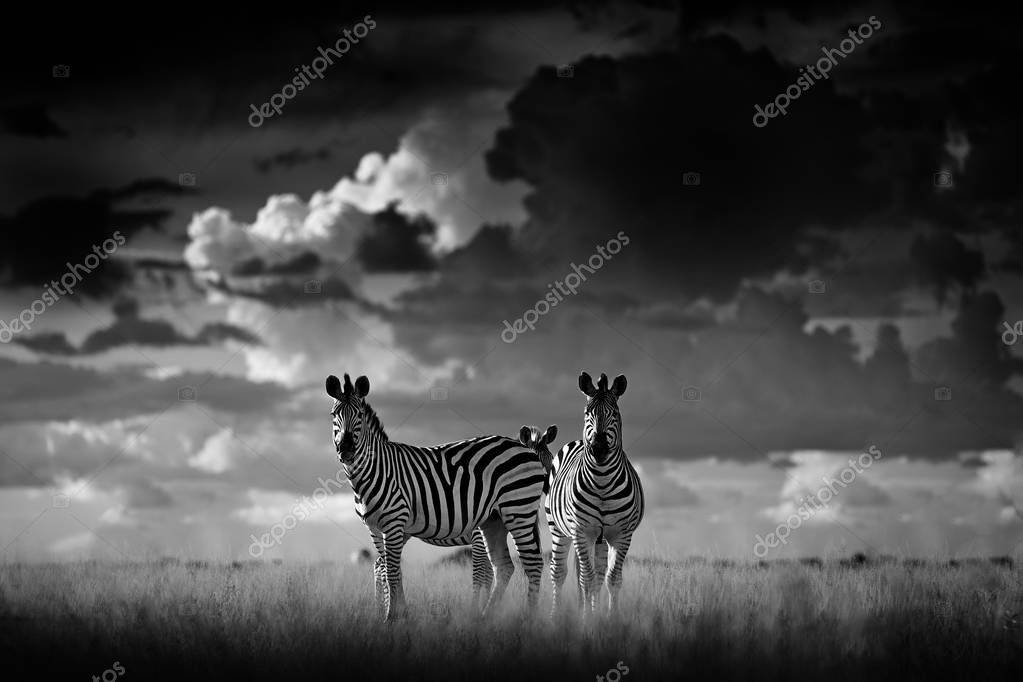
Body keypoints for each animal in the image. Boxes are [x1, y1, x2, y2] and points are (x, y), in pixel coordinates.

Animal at [326, 373, 547, 619]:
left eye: (360, 415)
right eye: (334, 415)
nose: (346, 449)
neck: (377, 470)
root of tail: (524, 449)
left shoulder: (394, 524)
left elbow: (393, 571)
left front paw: (391, 617)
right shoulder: (375, 528)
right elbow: (387, 569)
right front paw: (394, 614)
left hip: (518, 511)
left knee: (533, 564)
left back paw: (527, 618)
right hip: (494, 521)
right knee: (504, 566)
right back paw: (485, 616)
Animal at [546, 371, 644, 614]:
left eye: (615, 414)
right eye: (587, 413)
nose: (598, 448)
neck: (602, 483)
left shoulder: (621, 534)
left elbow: (612, 579)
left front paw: (609, 618)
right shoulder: (582, 532)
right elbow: (587, 580)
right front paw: (587, 620)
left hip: (600, 539)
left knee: (599, 576)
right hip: (559, 530)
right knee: (560, 573)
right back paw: (555, 615)